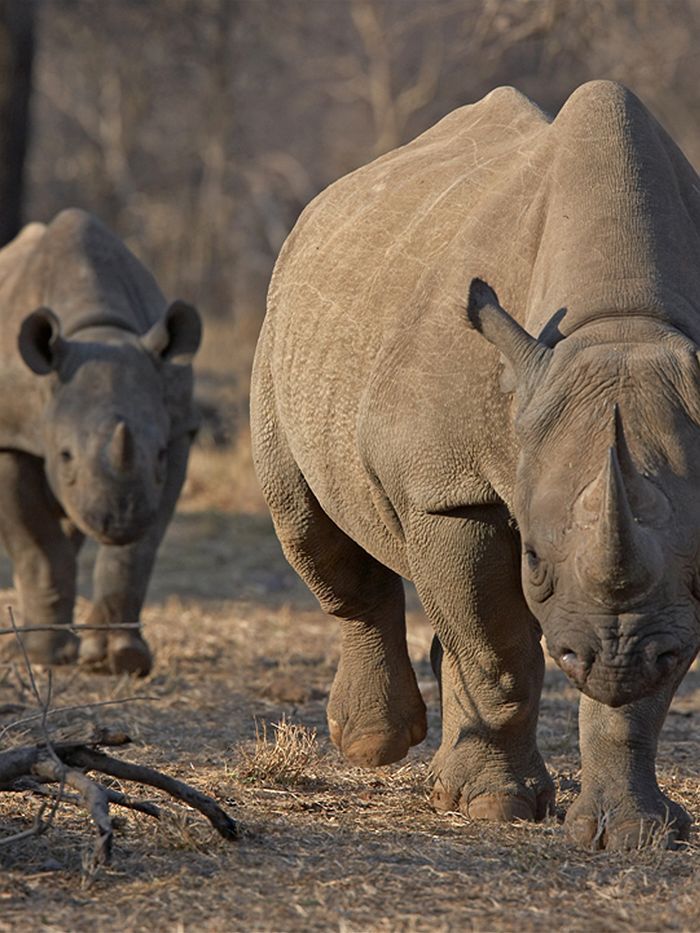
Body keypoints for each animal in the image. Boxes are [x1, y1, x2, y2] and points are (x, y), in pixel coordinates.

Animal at [0, 209, 201, 675]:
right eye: (64, 455)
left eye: (159, 454)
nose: (120, 519)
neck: (99, 331)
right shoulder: (10, 436)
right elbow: (37, 548)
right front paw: (46, 657)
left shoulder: (178, 428)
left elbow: (136, 553)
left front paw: (120, 659)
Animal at [251, 81, 700, 849]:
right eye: (537, 563)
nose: (613, 659)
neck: (622, 320)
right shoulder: (450, 488)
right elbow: (501, 653)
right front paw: (497, 806)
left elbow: (643, 690)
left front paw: (633, 834)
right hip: (284, 321)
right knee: (312, 530)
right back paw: (375, 746)